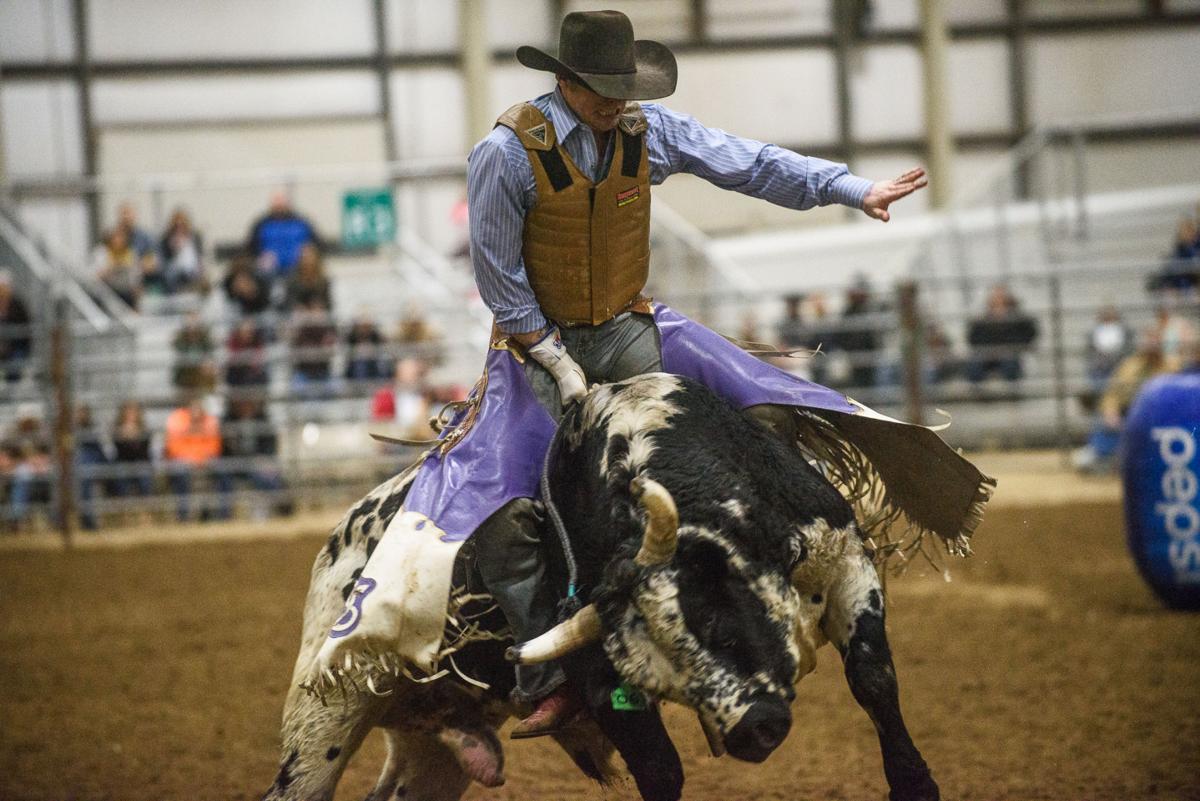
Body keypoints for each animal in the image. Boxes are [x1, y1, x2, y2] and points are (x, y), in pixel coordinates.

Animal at [264, 372, 943, 801]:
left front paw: (916, 784)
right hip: (323, 714)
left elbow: (873, 678)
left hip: (430, 751)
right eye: (659, 680)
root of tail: (342, 541)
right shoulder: (598, 675)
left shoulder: (846, 561)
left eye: (716, 623)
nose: (754, 730)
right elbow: (660, 770)